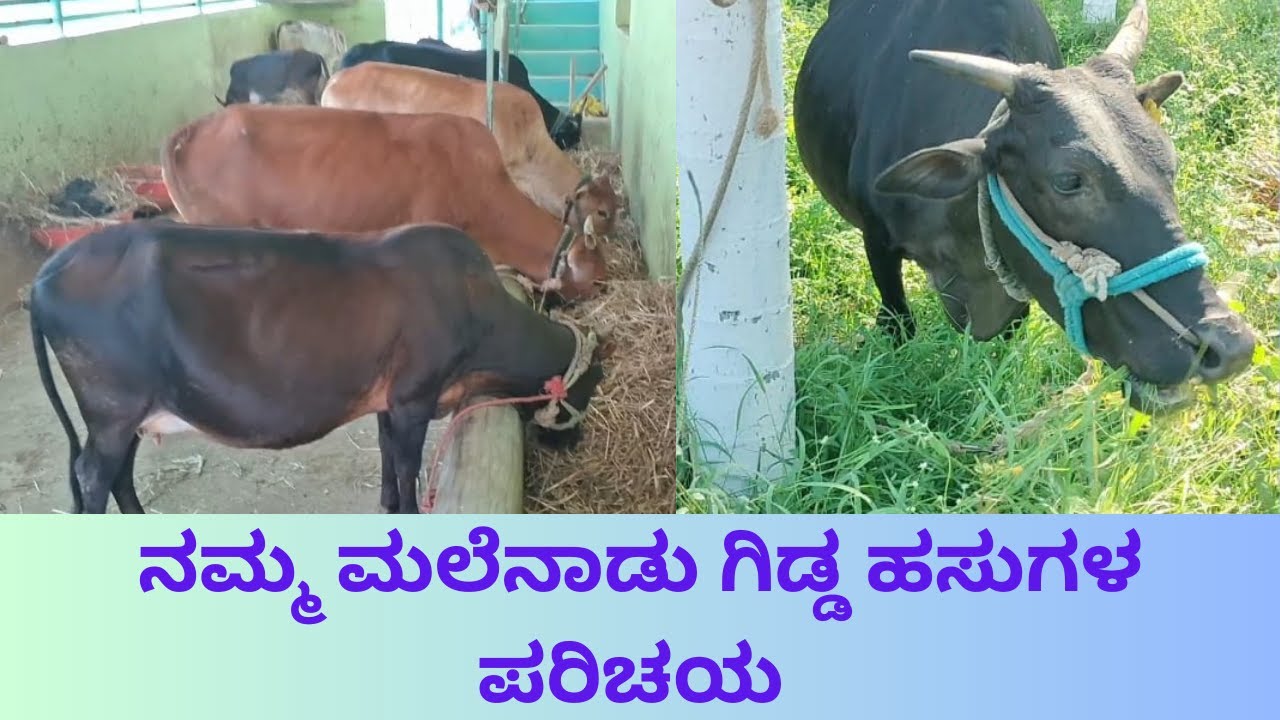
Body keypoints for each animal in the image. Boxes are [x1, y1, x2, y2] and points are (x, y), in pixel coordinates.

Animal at [28, 220, 605, 515]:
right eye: (594, 382)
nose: (574, 442)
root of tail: (45, 275)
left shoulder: (389, 400)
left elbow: (387, 456)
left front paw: (387, 509)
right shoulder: (414, 396)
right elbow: (406, 464)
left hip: (125, 415)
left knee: (118, 474)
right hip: (112, 407)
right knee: (92, 474)